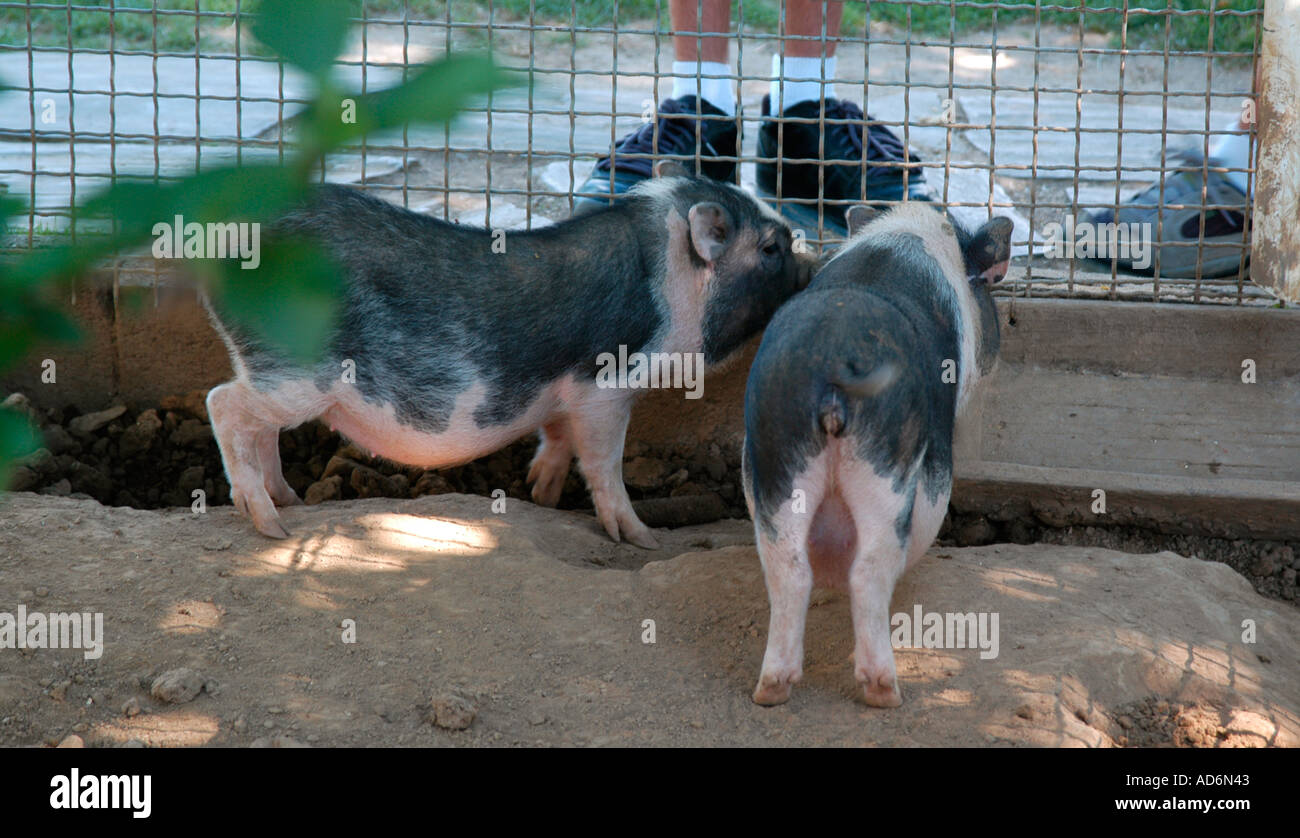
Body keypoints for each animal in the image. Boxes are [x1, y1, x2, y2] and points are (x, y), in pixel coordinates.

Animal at [203, 162, 811, 546]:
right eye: (771, 247)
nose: (811, 266)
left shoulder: (567, 394)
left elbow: (559, 436)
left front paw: (540, 493)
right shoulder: (606, 384)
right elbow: (604, 461)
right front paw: (641, 539)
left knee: (258, 426)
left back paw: (291, 502)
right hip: (296, 373)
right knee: (223, 403)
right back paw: (270, 524)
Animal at [741, 201, 1012, 707]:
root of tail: (833, 363)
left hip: (774, 451)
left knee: (787, 565)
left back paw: (771, 690)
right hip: (887, 464)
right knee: (869, 569)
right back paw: (884, 692)